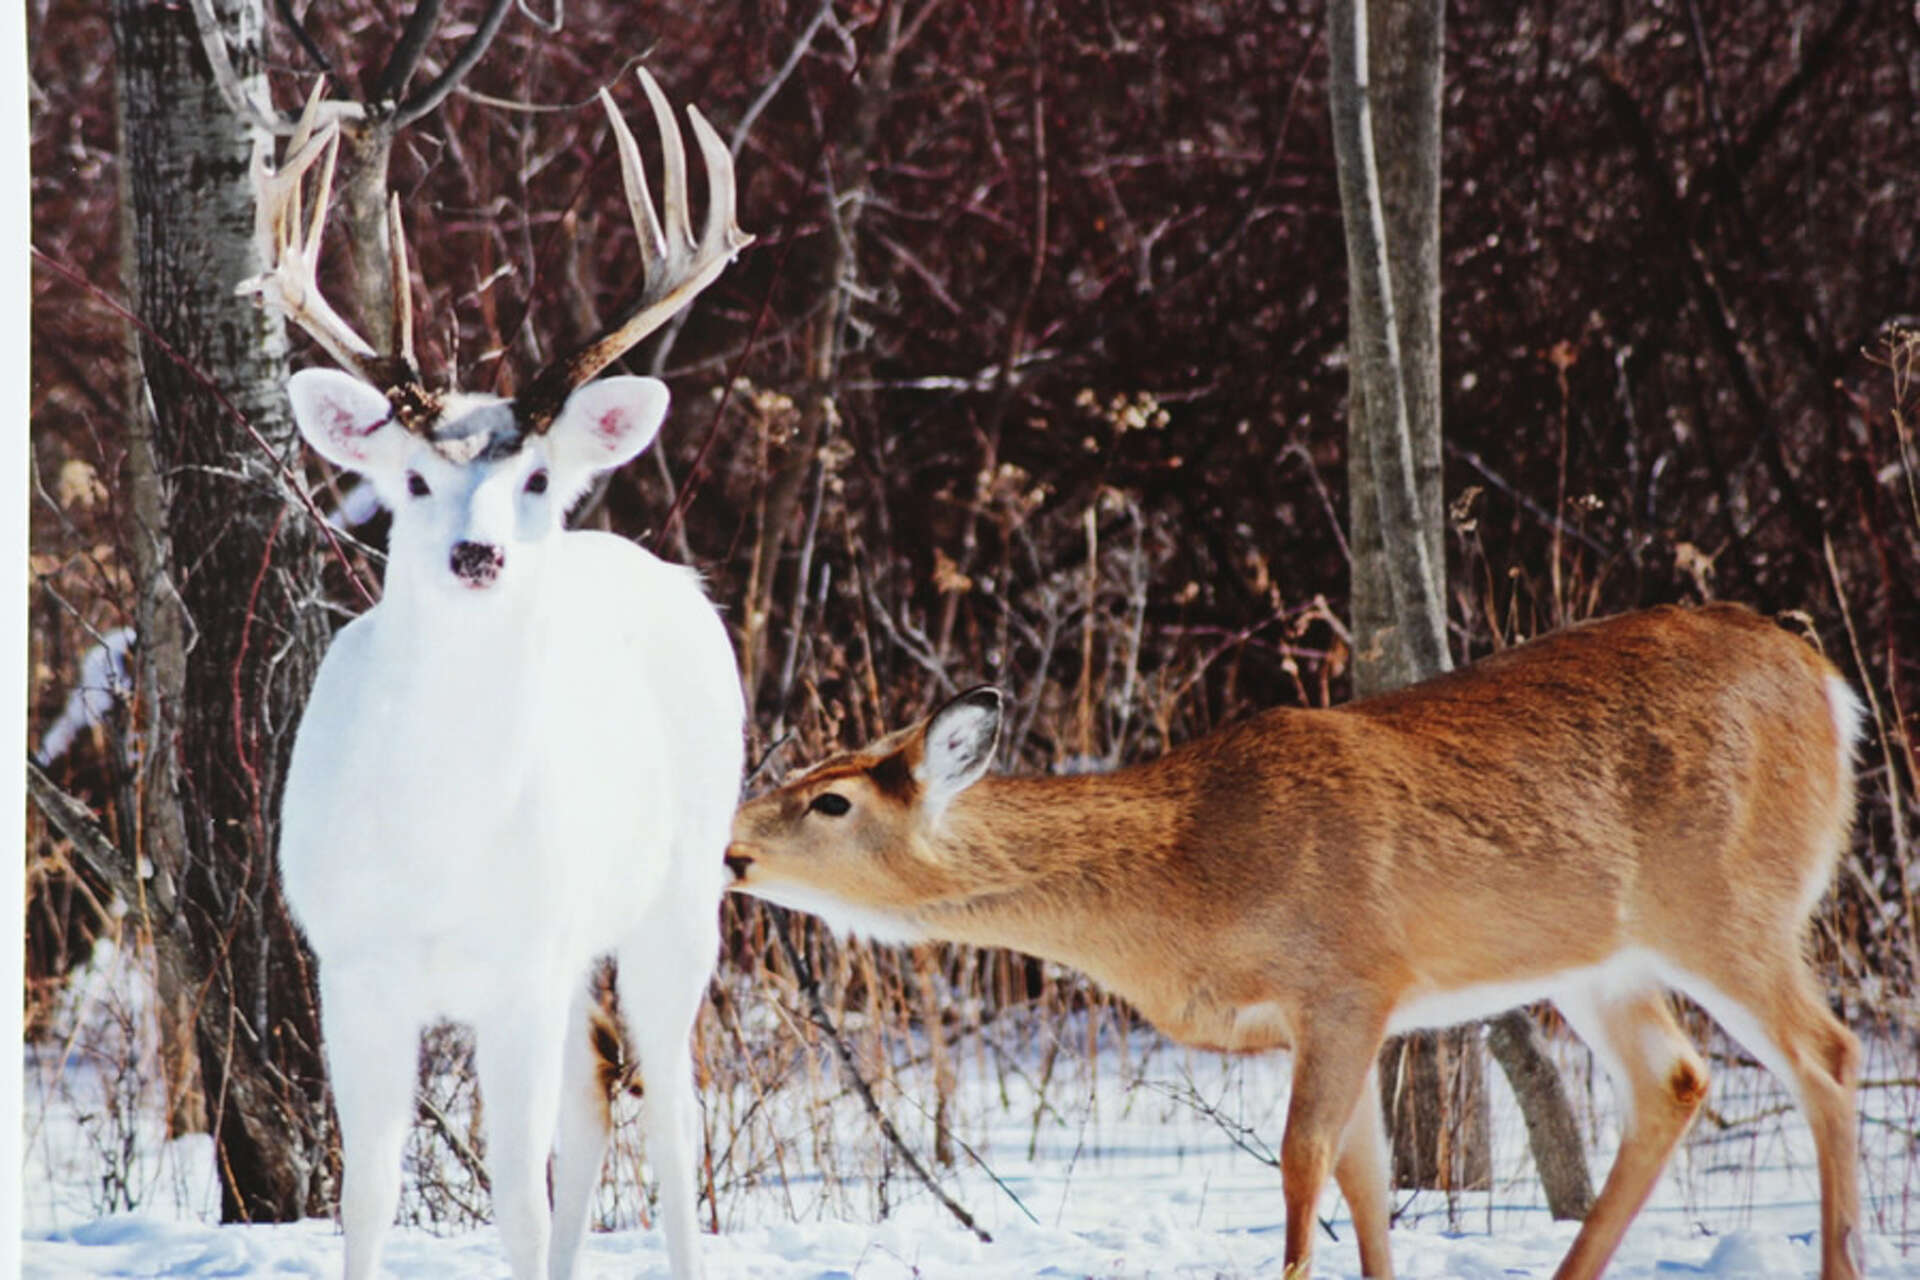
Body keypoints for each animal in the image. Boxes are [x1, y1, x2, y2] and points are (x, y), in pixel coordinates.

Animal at [247, 70, 751, 1280]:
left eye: (532, 476)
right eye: (415, 480)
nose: (479, 555)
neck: (439, 842)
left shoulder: (519, 964)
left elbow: (518, 1197)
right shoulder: (354, 968)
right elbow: (369, 1193)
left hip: (678, 894)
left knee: (671, 1108)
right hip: (574, 947)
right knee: (596, 1089)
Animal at [727, 603, 1867, 1280]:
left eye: (828, 799)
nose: (728, 845)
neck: (1187, 875)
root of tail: (1830, 684)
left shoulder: (1348, 980)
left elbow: (1302, 1163)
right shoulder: (1331, 1017)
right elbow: (1365, 1179)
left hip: (1730, 900)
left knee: (1828, 1053)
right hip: (1603, 957)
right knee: (1675, 1079)